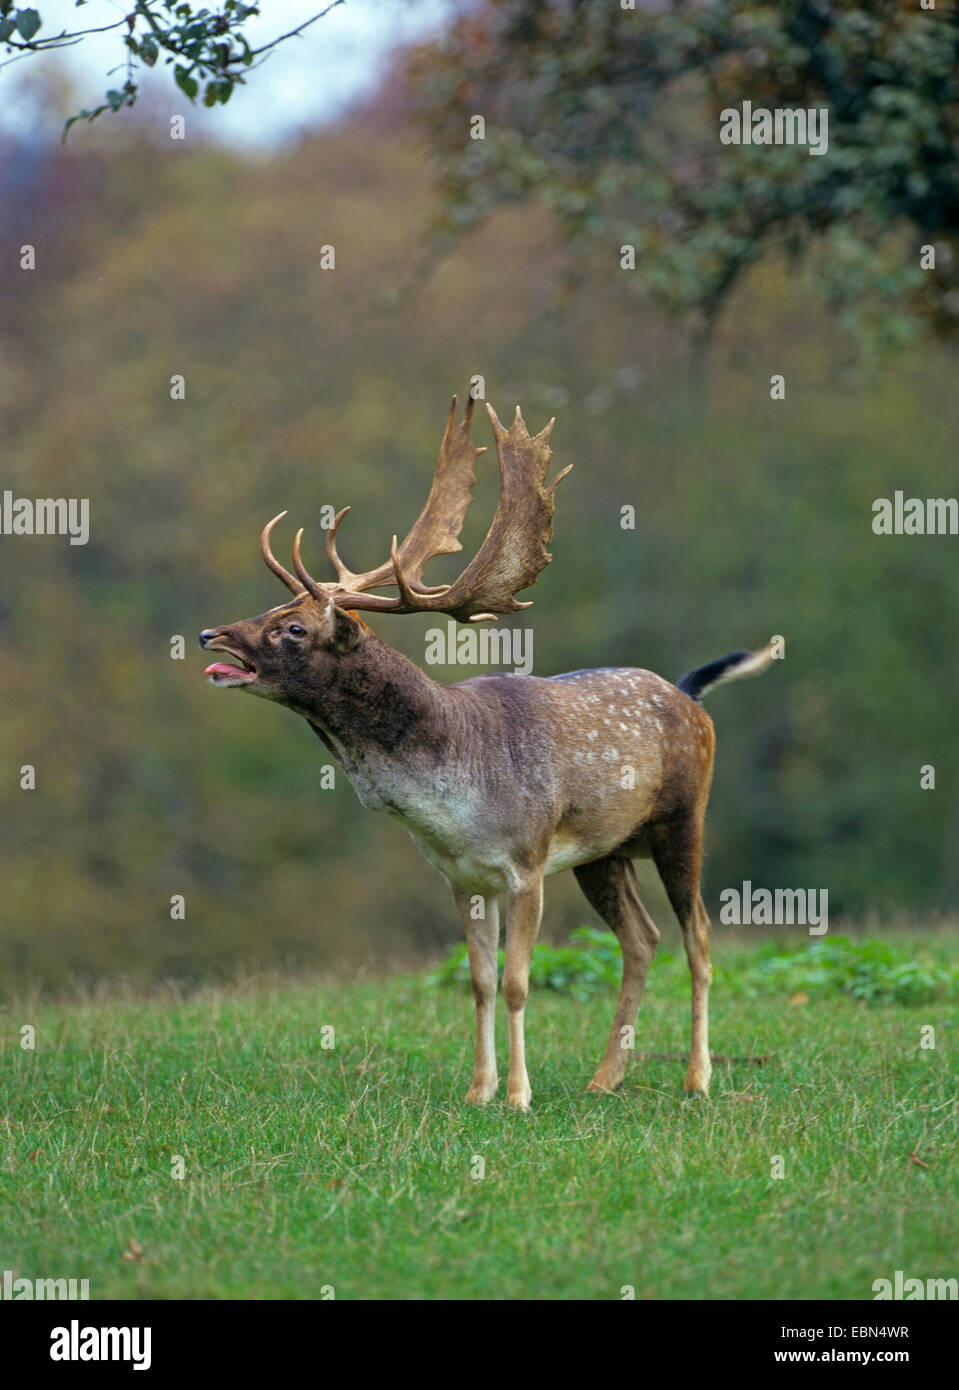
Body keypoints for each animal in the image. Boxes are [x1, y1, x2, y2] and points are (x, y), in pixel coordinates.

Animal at [199, 395, 774, 1110]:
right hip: (604, 854)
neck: (448, 803)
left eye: (295, 628)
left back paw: (697, 1078)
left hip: (682, 821)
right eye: (272, 606)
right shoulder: (461, 878)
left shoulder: (525, 865)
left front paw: (519, 1096)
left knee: (698, 938)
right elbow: (478, 982)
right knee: (643, 939)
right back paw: (604, 1077)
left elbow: (519, 982)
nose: (210, 635)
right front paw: (479, 1090)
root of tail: (691, 693)